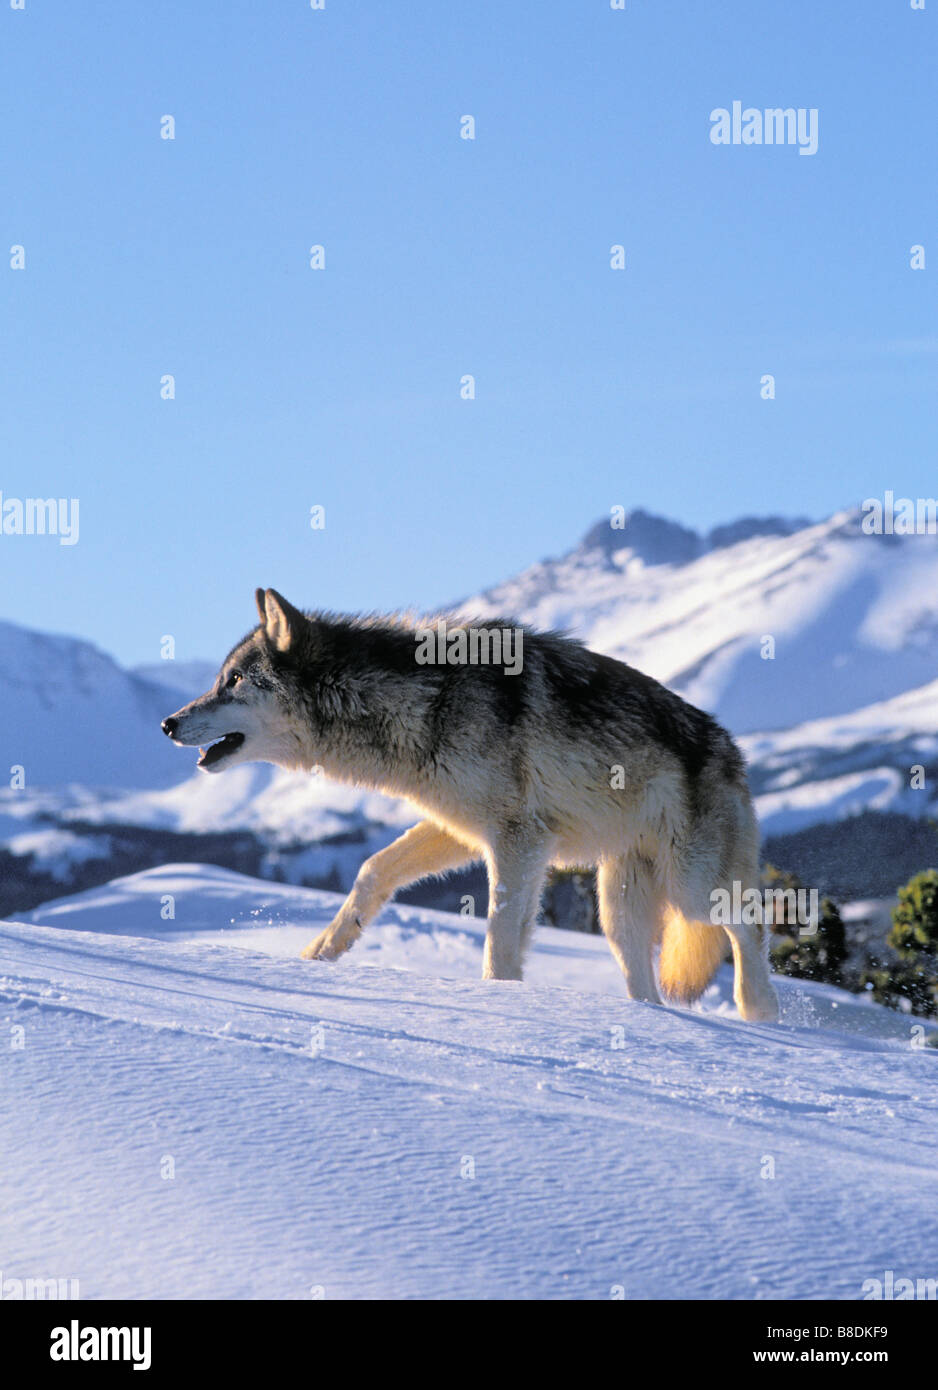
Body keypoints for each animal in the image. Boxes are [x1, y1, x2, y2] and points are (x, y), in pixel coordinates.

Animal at [161, 589, 779, 1022]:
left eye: (233, 680)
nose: (168, 723)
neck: (423, 706)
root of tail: (733, 750)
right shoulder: (460, 830)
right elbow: (372, 871)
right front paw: (322, 952)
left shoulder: (519, 841)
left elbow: (499, 940)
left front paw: (498, 1007)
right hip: (618, 909)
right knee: (647, 982)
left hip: (692, 888)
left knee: (752, 924)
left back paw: (760, 1012)